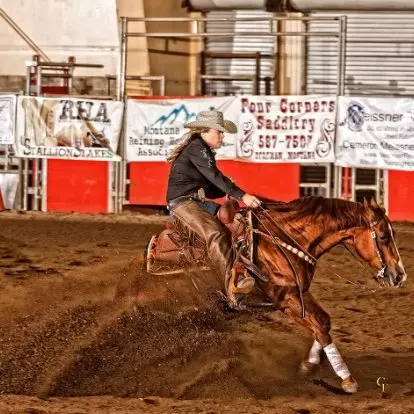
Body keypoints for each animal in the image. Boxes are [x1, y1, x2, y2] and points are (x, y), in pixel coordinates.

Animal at [117, 196, 408, 394]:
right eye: (383, 236)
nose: (400, 275)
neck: (282, 239)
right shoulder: (286, 300)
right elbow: (319, 327)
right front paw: (347, 379)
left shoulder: (299, 293)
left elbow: (324, 323)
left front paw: (310, 364)